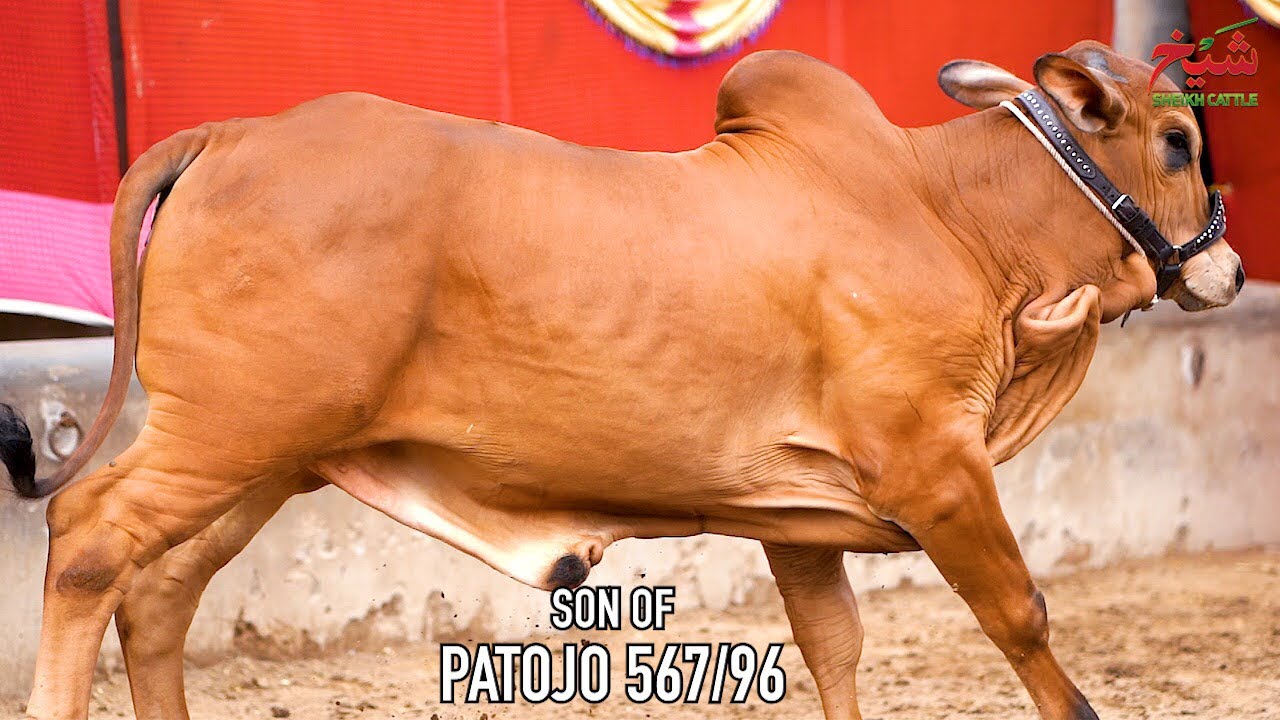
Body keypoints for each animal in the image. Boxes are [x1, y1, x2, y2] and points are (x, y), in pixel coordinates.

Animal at [0, 40, 1243, 720]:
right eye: (1176, 145)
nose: (1226, 267)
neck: (953, 214)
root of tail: (230, 132)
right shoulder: (934, 465)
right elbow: (1020, 615)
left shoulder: (799, 516)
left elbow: (832, 645)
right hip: (228, 437)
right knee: (91, 535)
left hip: (266, 459)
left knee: (159, 594)